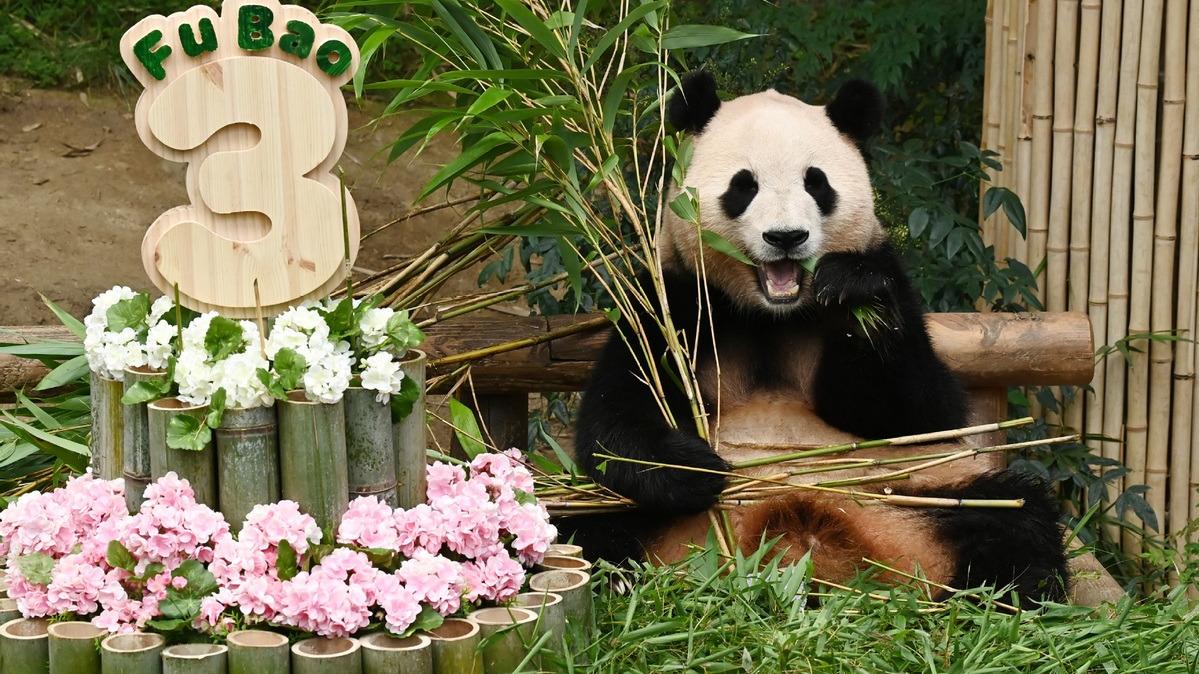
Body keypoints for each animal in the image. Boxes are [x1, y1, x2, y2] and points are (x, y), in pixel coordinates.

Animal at [569, 72, 1069, 601]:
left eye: (816, 182)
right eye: (743, 186)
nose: (785, 237)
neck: (771, 315)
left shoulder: (890, 279)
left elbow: (921, 410)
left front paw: (854, 293)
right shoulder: (669, 300)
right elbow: (616, 415)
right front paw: (697, 468)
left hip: (918, 494)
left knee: (1014, 514)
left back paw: (1000, 594)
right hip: (619, 512)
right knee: (581, 523)